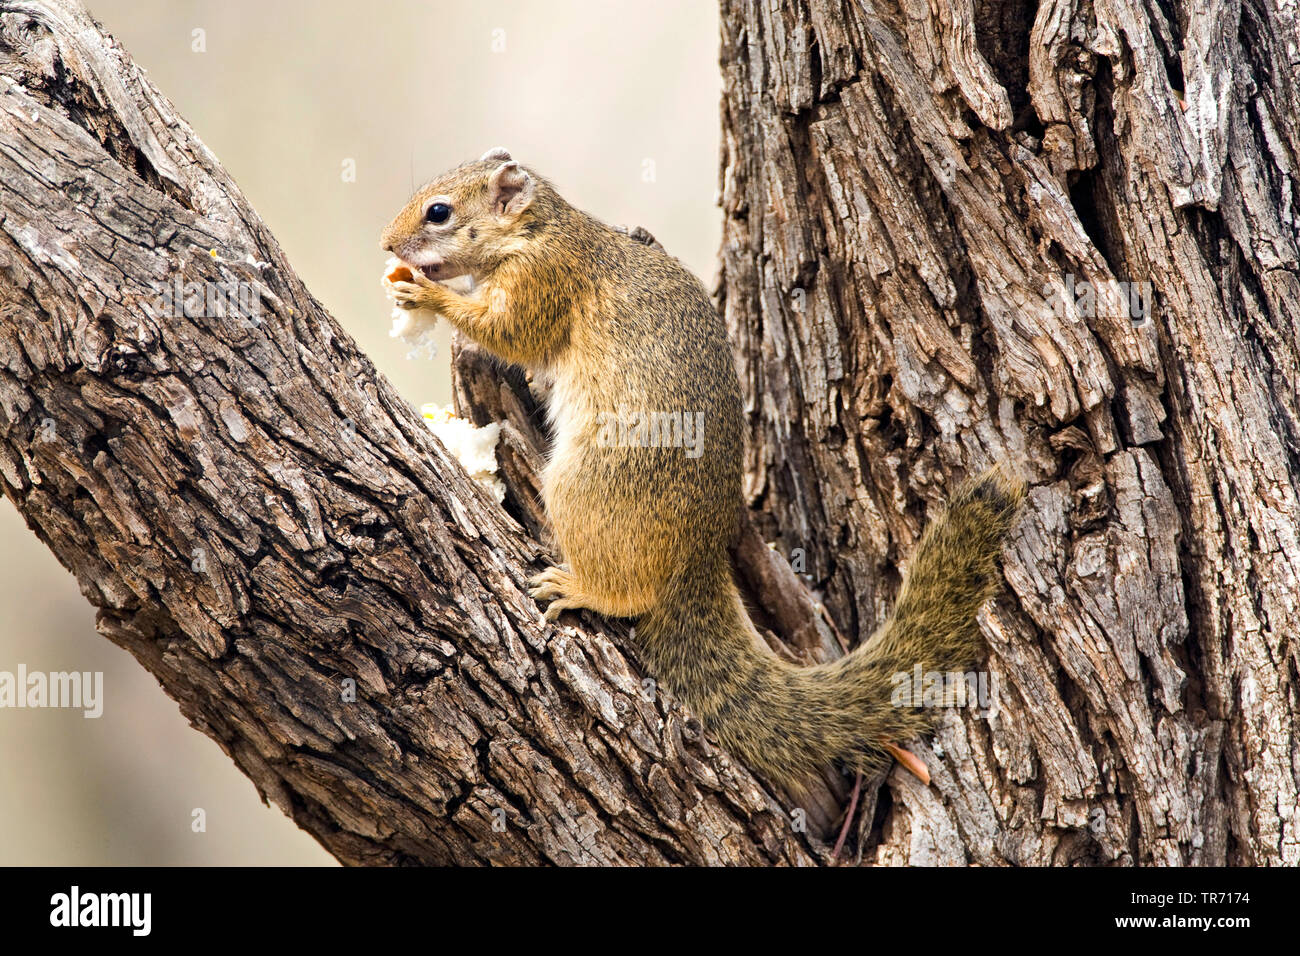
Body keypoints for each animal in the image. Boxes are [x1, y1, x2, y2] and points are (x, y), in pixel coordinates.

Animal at [380, 147, 1024, 787]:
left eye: (439, 212)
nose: (388, 244)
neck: (540, 230)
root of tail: (697, 557)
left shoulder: (544, 281)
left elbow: (507, 334)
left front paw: (426, 297)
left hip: (585, 486)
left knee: (631, 594)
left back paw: (581, 587)